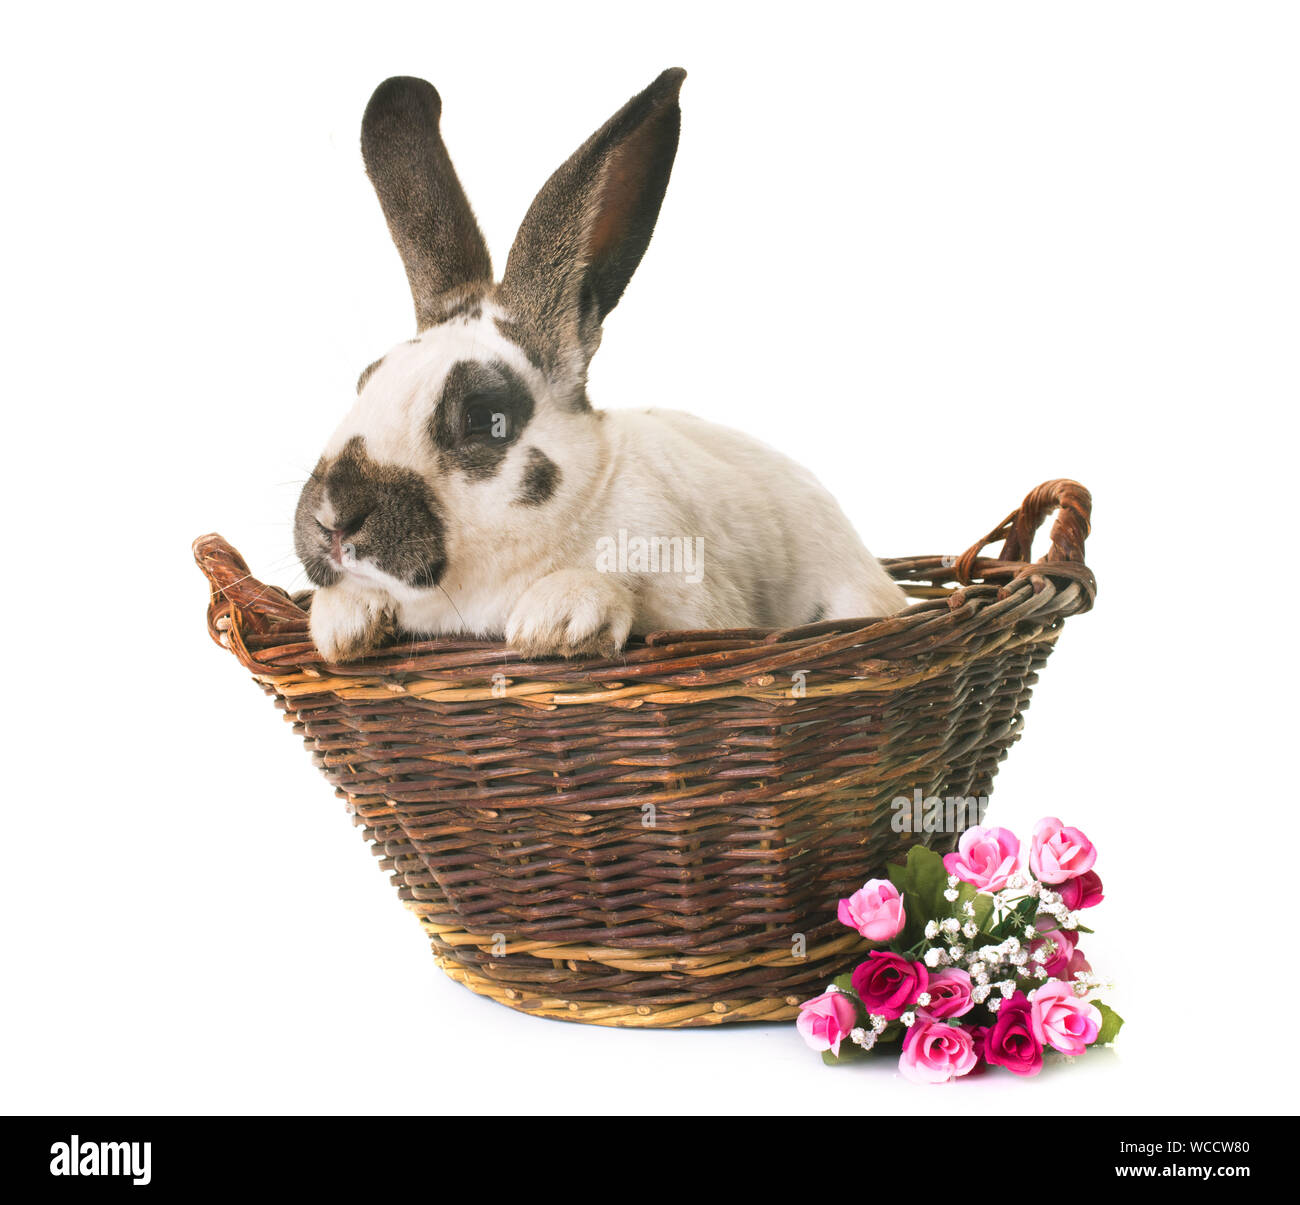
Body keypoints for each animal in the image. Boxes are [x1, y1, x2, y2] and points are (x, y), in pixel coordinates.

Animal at [295, 68, 908, 663]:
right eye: (364, 380)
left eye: (483, 418)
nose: (332, 520)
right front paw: (342, 627)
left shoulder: (694, 599)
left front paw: (558, 621)